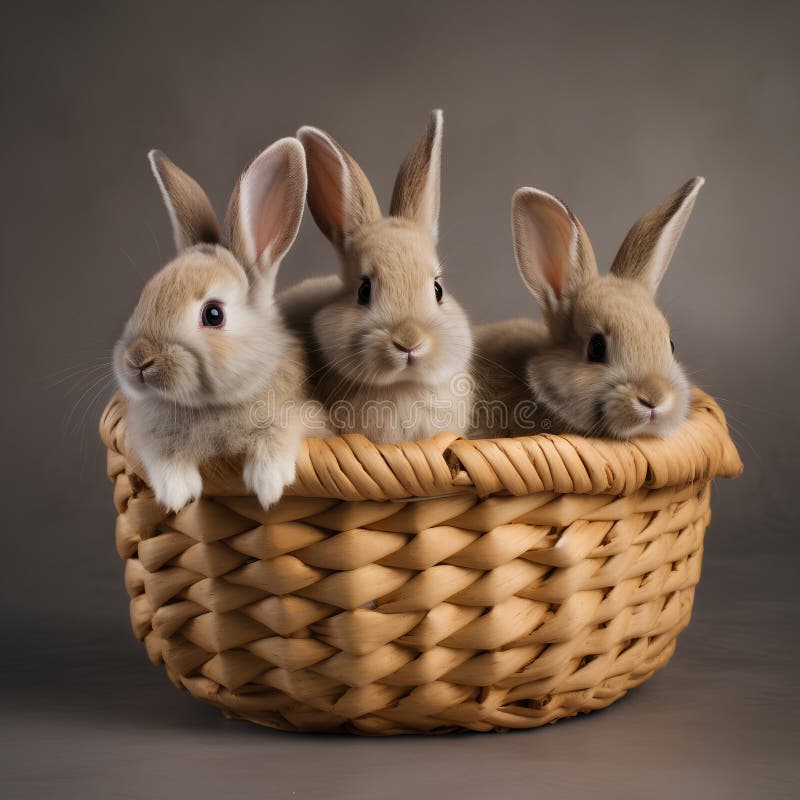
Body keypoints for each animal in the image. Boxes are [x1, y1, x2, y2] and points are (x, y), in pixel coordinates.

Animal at [113, 138, 322, 512]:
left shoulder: (303, 416)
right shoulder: (144, 434)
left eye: (213, 314)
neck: (208, 406)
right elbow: (163, 452)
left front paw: (268, 484)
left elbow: (280, 432)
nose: (138, 360)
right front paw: (177, 494)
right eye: (145, 295)